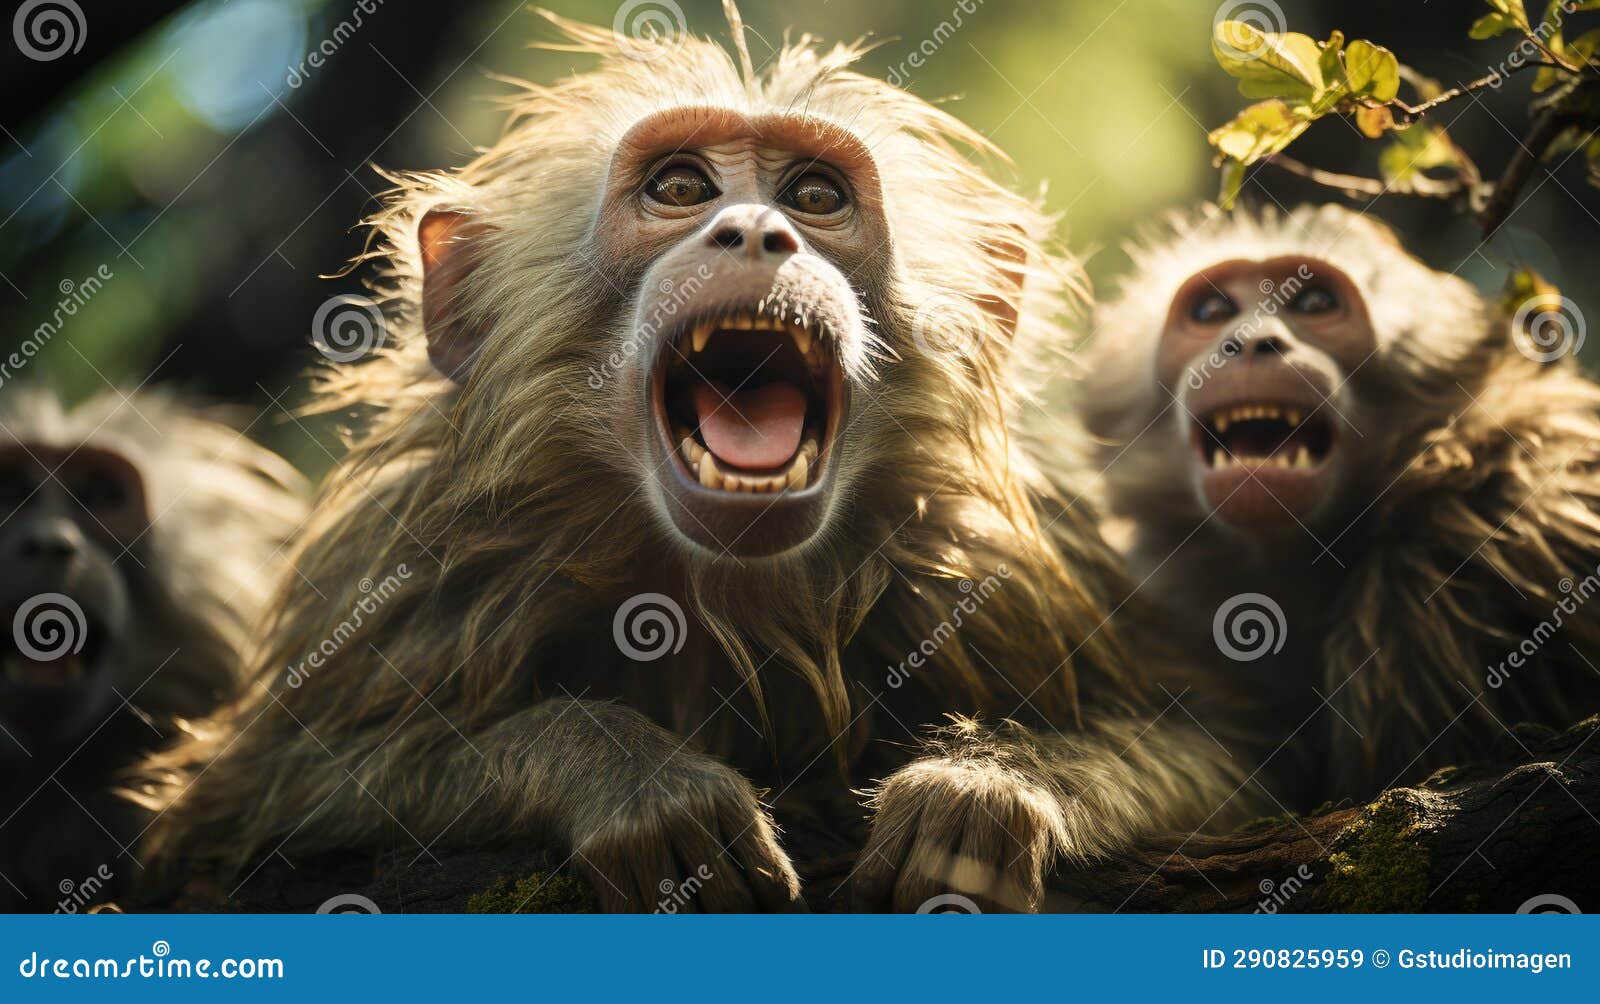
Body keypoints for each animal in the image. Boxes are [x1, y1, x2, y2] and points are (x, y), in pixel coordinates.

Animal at [136, 9, 1240, 914]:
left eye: (814, 194)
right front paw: (622, 771)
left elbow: (1214, 750)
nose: (756, 229)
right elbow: (241, 806)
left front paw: (992, 785)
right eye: (679, 188)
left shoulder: (1020, 562)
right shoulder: (403, 558)